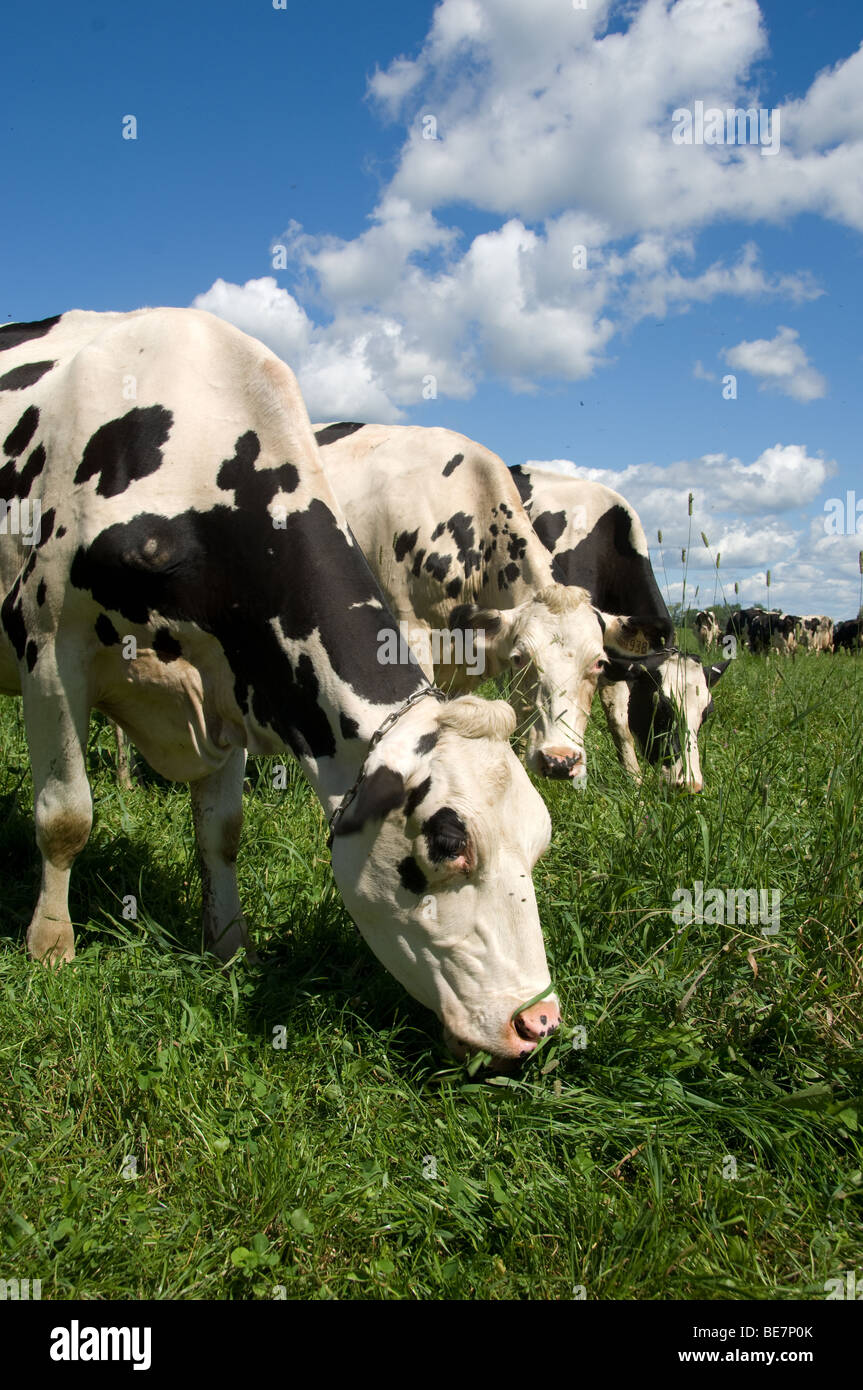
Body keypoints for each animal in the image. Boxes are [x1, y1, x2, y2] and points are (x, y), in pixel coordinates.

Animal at [0, 307, 562, 1067]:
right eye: (447, 845)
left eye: (539, 842)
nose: (537, 1021)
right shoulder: (48, 646)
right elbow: (66, 817)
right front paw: (50, 945)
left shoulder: (234, 676)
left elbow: (221, 833)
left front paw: (228, 944)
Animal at [510, 466, 729, 792]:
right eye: (660, 709)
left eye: (706, 713)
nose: (689, 784)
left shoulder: (610, 651)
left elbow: (619, 719)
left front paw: (634, 778)